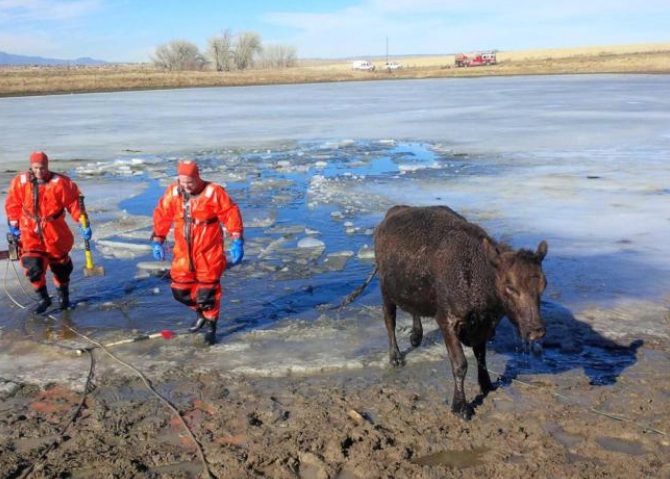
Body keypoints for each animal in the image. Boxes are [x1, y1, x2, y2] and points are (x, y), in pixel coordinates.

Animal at [347, 205, 548, 419]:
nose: (536, 331)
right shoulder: (448, 321)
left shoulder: (482, 326)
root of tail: (392, 214)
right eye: (510, 287)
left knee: (414, 310)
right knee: (389, 321)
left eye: (543, 284)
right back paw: (395, 357)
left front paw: (486, 384)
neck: (475, 272)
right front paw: (460, 407)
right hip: (386, 292)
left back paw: (416, 337)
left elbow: (481, 357)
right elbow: (460, 364)